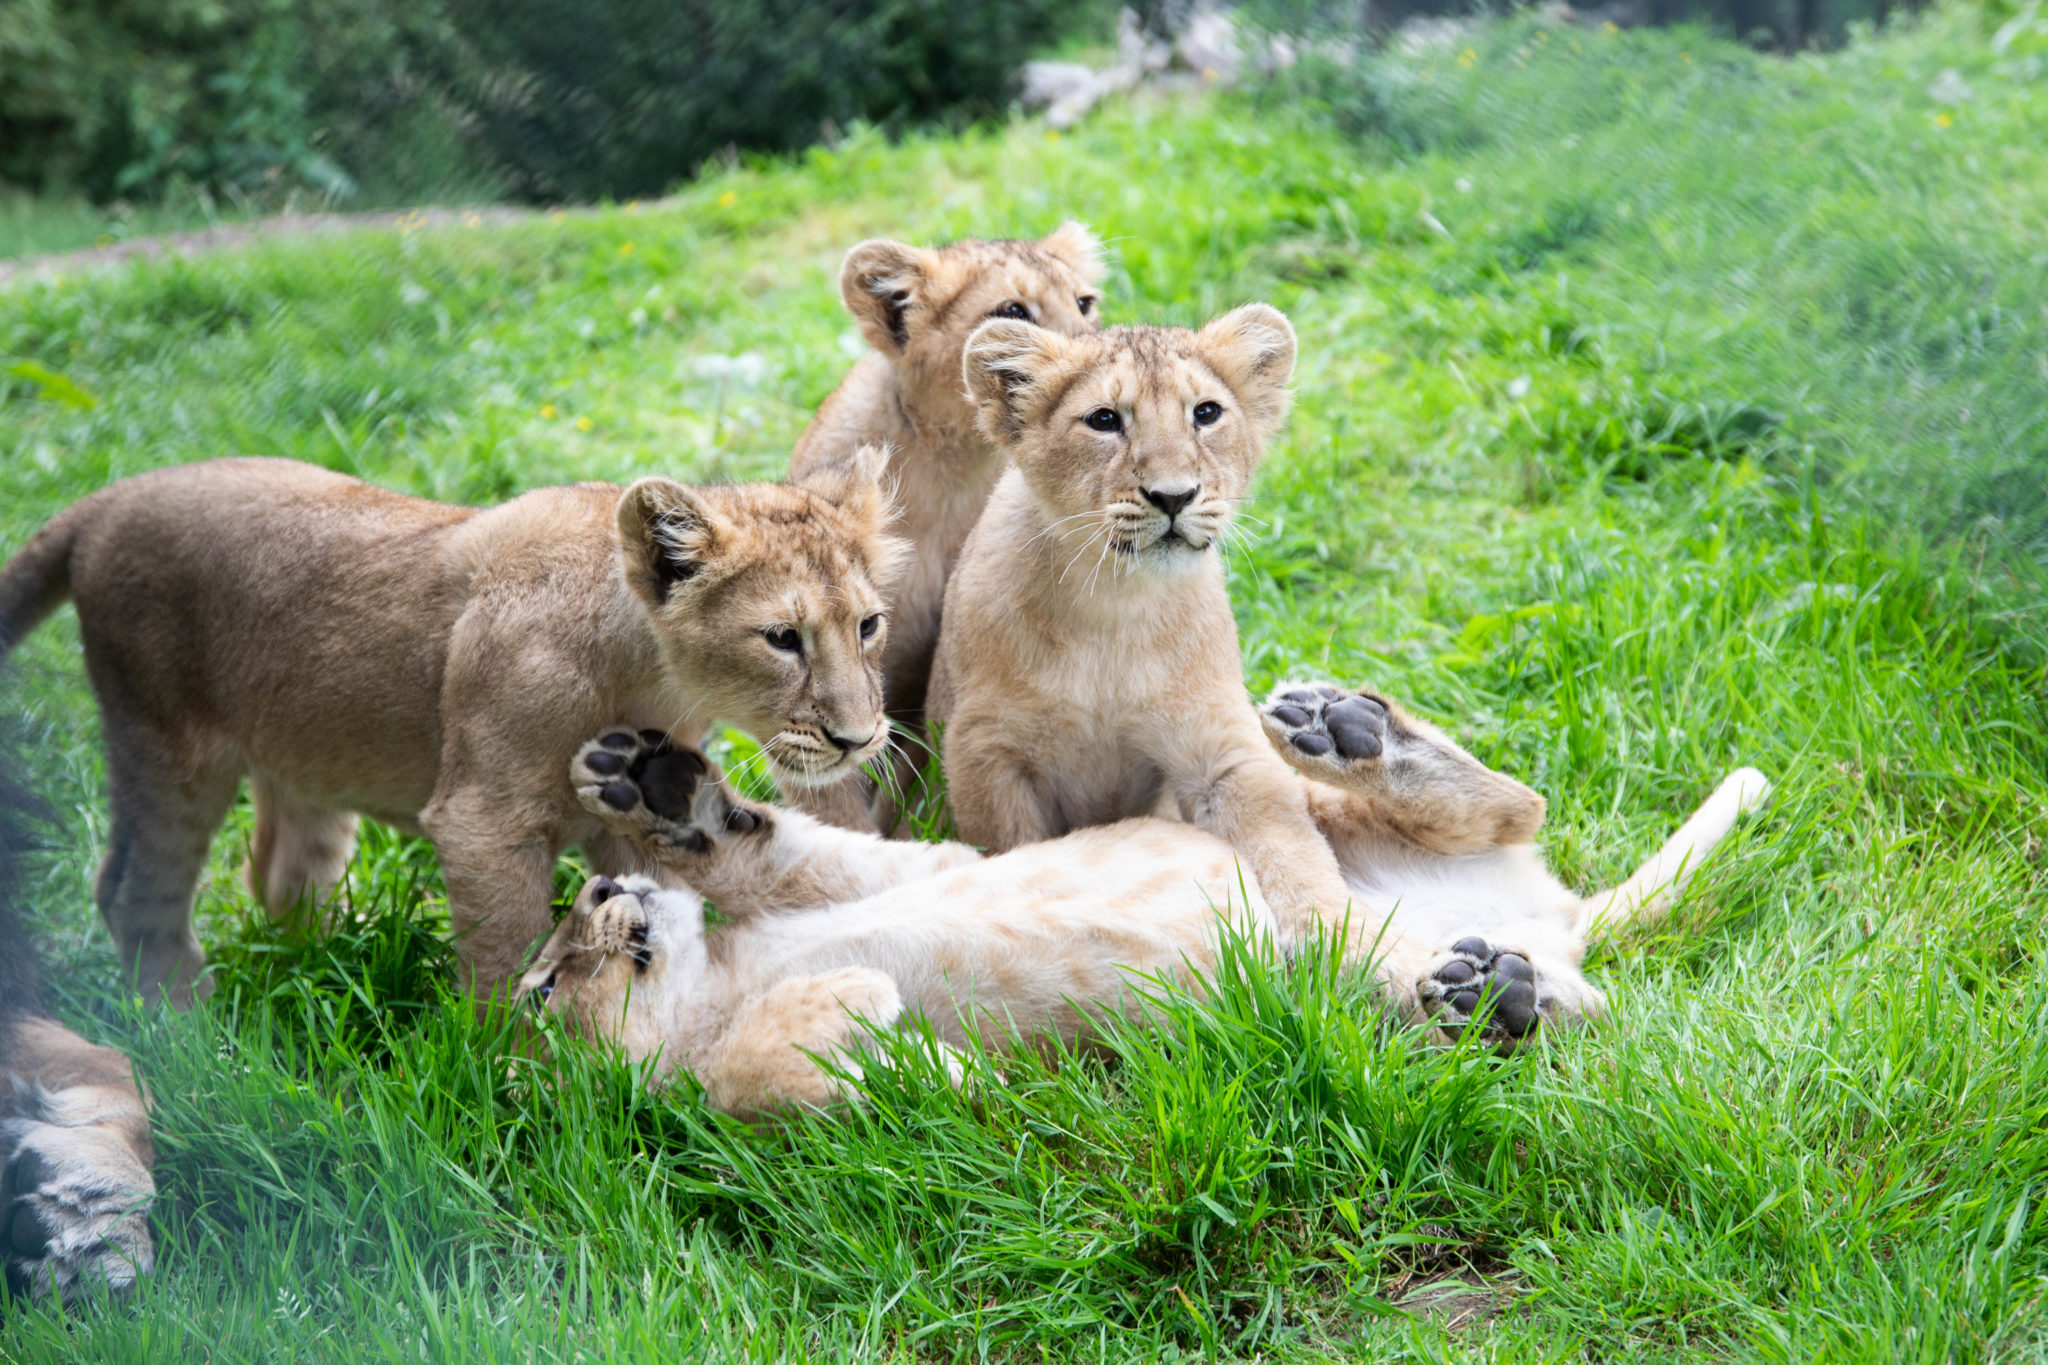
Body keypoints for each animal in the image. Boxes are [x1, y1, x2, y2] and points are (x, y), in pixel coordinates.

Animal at [0, 452, 904, 1004]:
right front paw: (516, 1081)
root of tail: (108, 498)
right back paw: (194, 1033)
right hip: (168, 746)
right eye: (781, 638)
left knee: (280, 875)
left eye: (868, 625)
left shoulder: (624, 824)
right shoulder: (481, 820)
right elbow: (507, 956)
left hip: (300, 758)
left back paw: (321, 969)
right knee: (130, 891)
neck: (649, 675)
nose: (860, 738)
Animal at [517, 722, 1768, 1117]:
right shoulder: (725, 1090)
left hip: (1267, 810)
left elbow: (764, 845)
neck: (721, 974)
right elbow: (753, 1076)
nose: (598, 896)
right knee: (1550, 996)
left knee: (1513, 801)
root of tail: (1551, 917)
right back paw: (1486, 993)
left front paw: (654, 785)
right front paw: (913, 1053)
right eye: (541, 988)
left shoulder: (902, 865)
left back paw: (1352, 729)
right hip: (1342, 983)